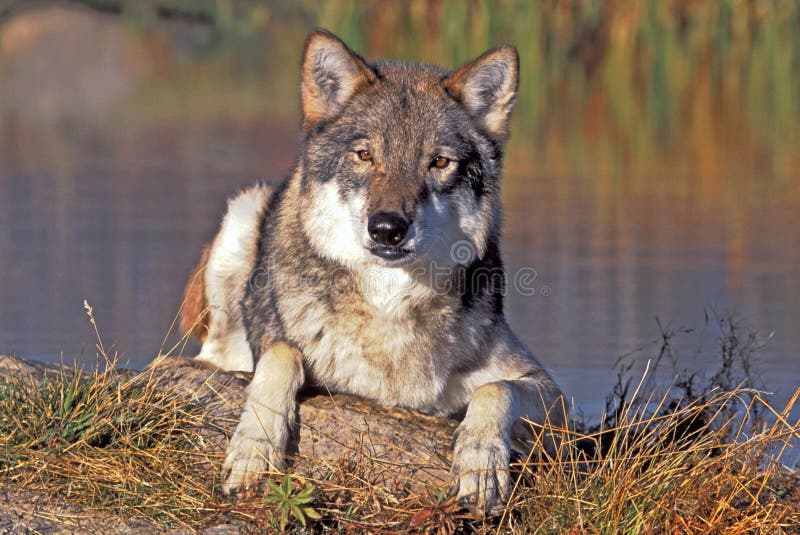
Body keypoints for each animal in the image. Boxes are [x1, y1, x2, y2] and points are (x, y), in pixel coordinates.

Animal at [180, 29, 565, 515]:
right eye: (364, 155)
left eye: (439, 163)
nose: (387, 229)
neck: (389, 302)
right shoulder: (281, 345)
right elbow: (282, 356)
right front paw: (254, 450)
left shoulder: (552, 395)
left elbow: (495, 390)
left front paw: (480, 462)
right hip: (245, 211)